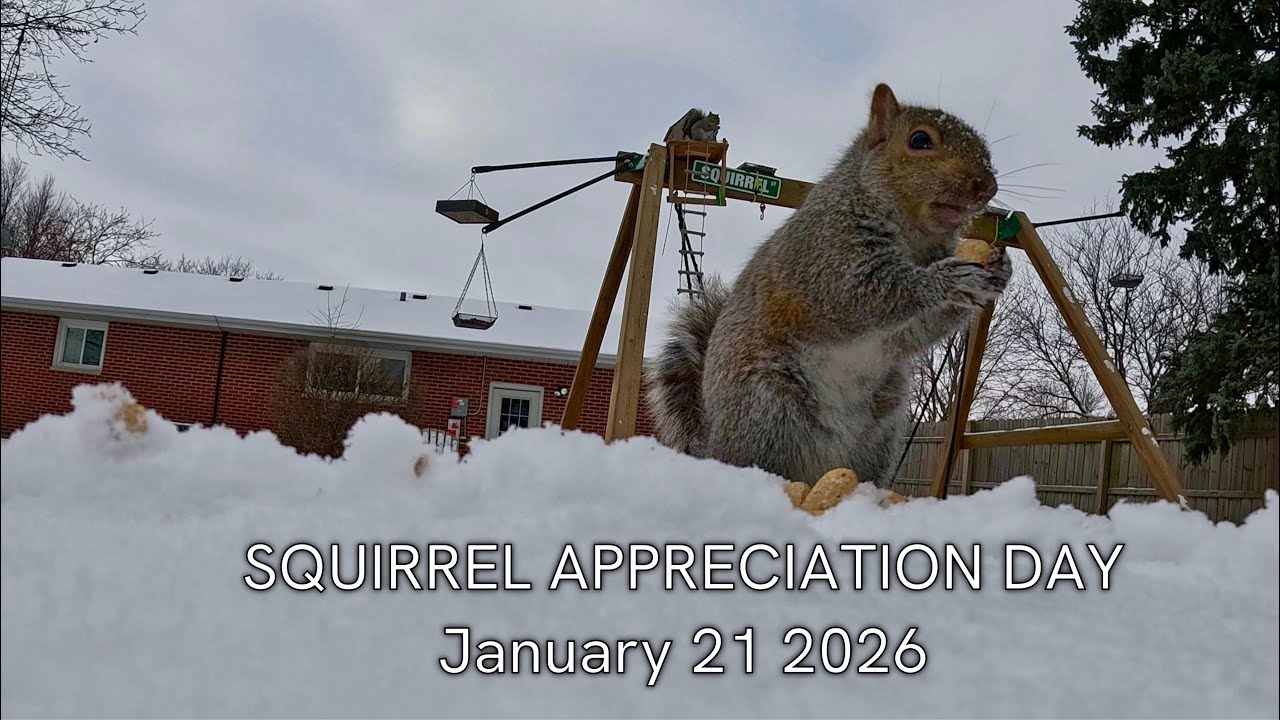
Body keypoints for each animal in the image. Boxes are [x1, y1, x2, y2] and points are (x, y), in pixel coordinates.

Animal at [646, 83, 1011, 490]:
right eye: (919, 140)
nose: (987, 186)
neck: (914, 233)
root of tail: (715, 451)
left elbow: (915, 332)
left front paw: (999, 270)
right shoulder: (825, 253)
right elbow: (860, 295)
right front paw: (947, 279)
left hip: (880, 429)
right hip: (767, 408)